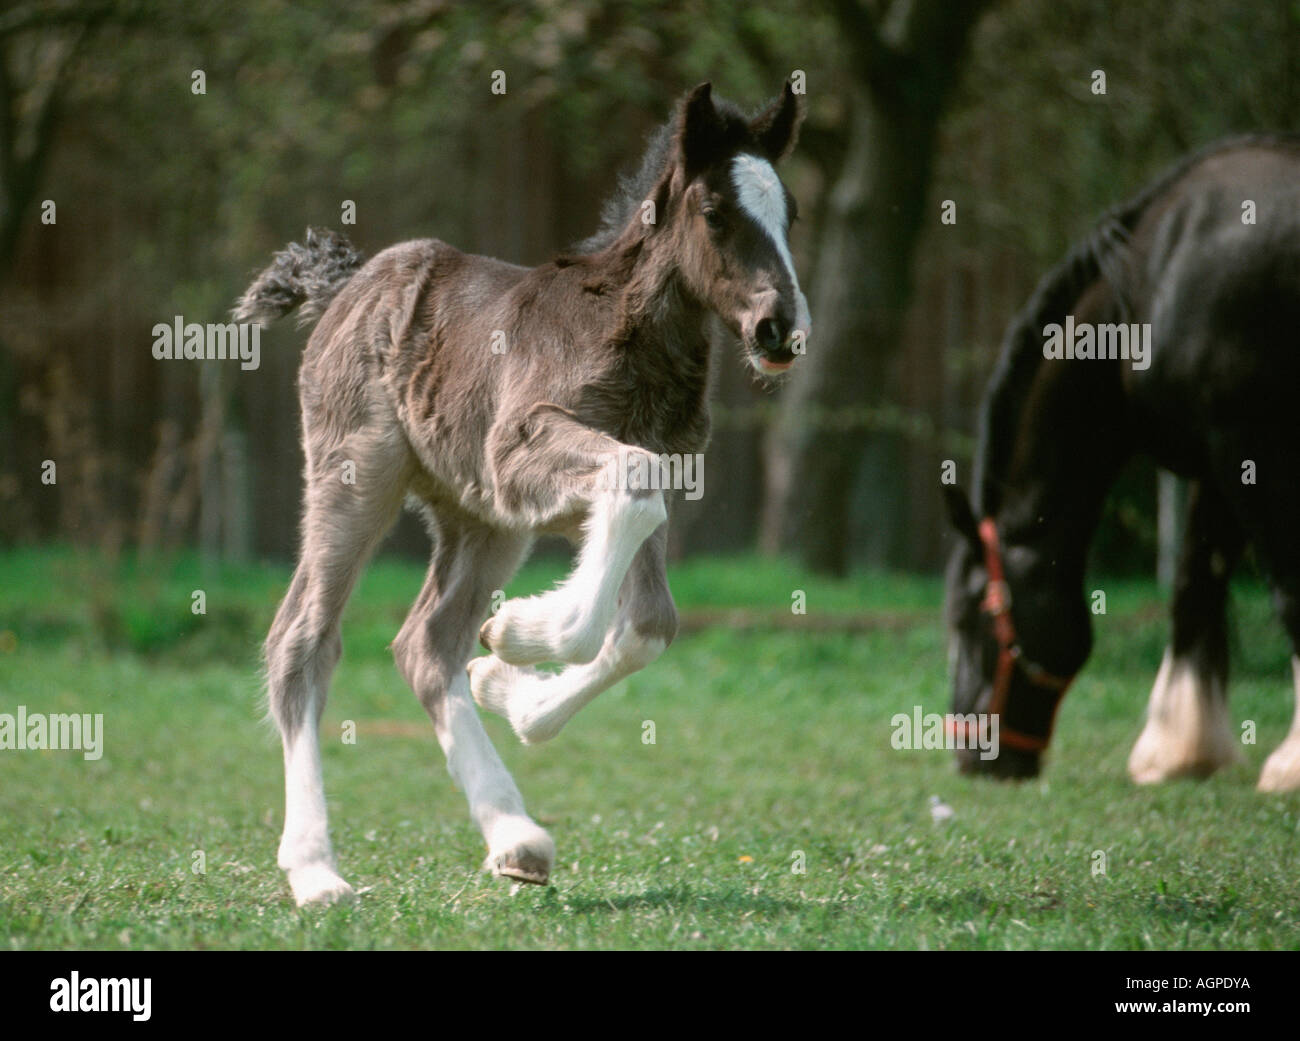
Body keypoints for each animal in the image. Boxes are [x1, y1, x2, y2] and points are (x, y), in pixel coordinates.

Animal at [234, 82, 810, 907]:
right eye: (714, 211)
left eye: (789, 213)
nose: (780, 329)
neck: (626, 334)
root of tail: (348, 285)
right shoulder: (522, 450)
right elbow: (630, 496)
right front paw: (519, 634)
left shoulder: (637, 481)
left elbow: (649, 622)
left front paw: (514, 683)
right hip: (357, 477)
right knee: (303, 638)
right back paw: (316, 868)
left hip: (483, 520)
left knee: (426, 644)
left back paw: (514, 834)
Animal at [943, 134, 1300, 791]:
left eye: (970, 619)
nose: (971, 756)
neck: (1159, 274)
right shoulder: (1216, 461)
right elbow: (1193, 587)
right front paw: (1179, 750)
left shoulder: (1250, 442)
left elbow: (1287, 589)